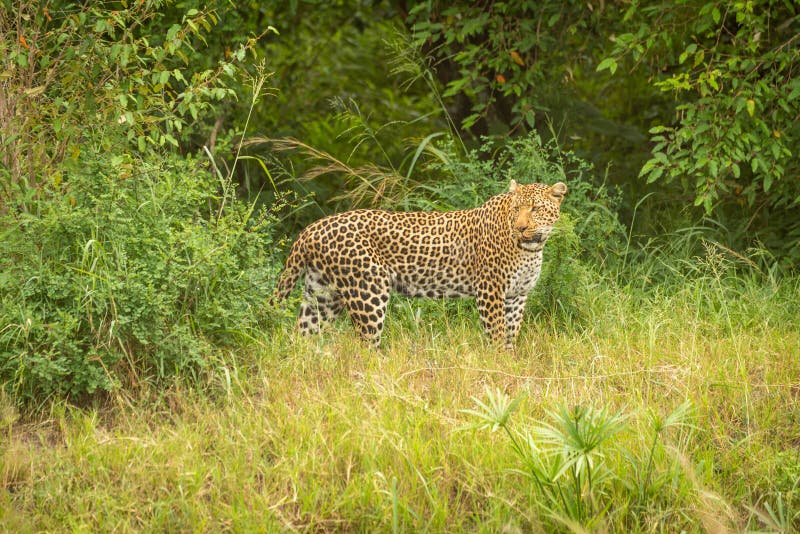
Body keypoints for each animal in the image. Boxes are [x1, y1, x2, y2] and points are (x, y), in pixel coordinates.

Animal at [274, 180, 567, 349]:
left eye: (536, 209)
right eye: (517, 209)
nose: (520, 228)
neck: (531, 248)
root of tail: (312, 228)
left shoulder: (517, 295)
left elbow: (511, 335)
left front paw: (508, 362)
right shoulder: (490, 291)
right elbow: (496, 334)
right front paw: (496, 367)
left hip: (322, 294)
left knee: (303, 336)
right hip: (368, 291)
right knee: (366, 345)